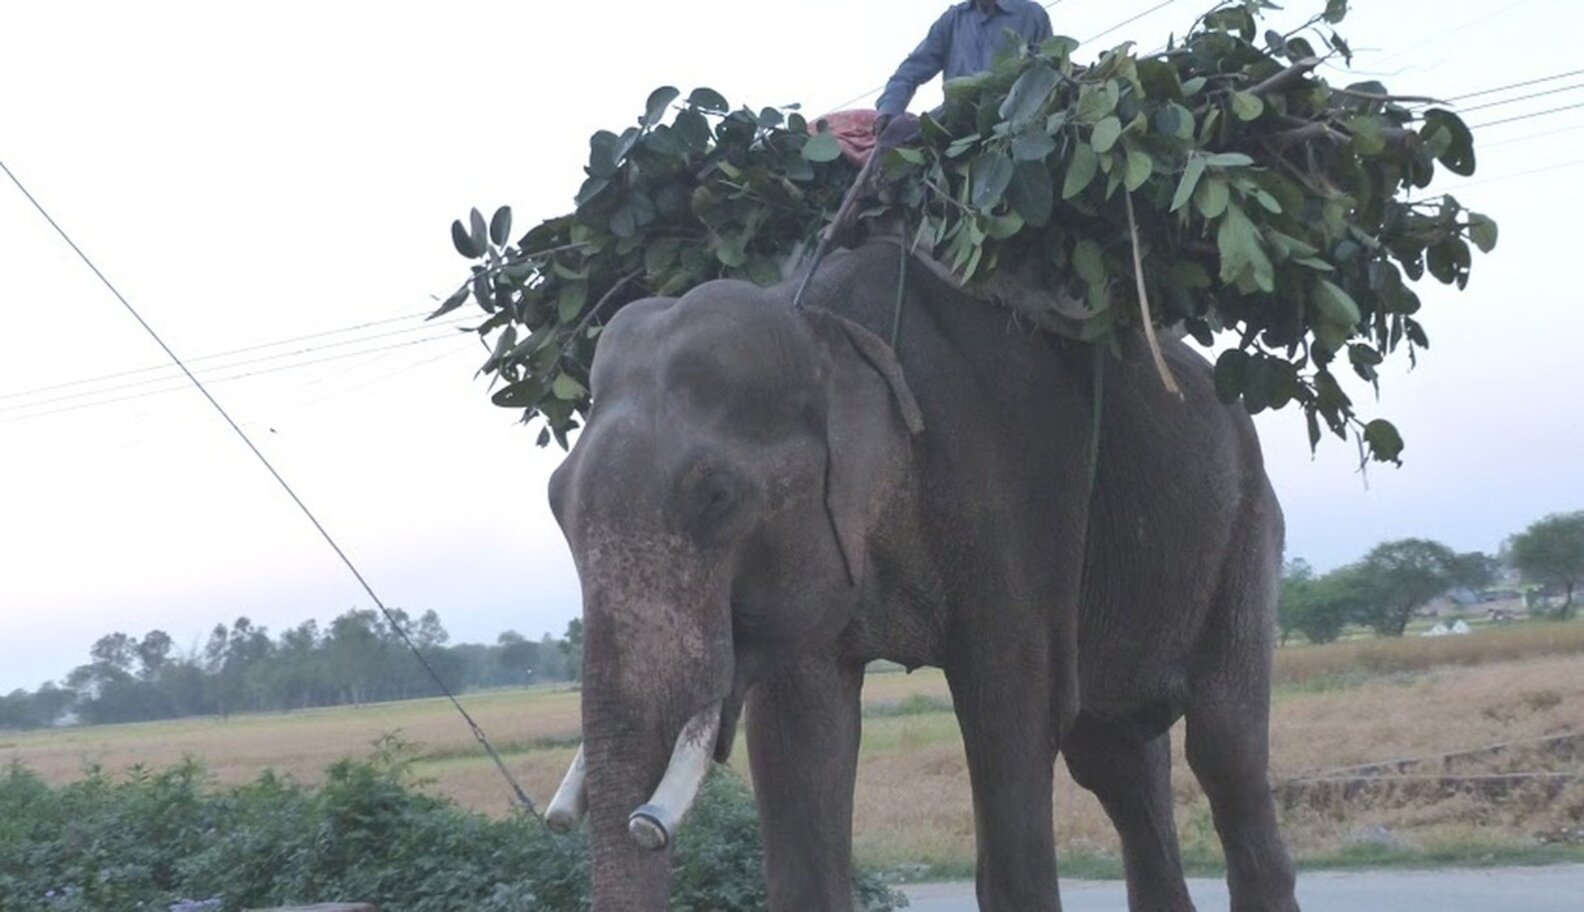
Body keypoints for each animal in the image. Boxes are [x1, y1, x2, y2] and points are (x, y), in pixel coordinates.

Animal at [541, 238, 1300, 912]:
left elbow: (1010, 708)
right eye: (553, 499)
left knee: (1224, 749)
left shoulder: (1015, 502)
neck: (824, 327)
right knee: (1115, 761)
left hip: (1249, 519)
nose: (644, 825)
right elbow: (800, 738)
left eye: (719, 497)